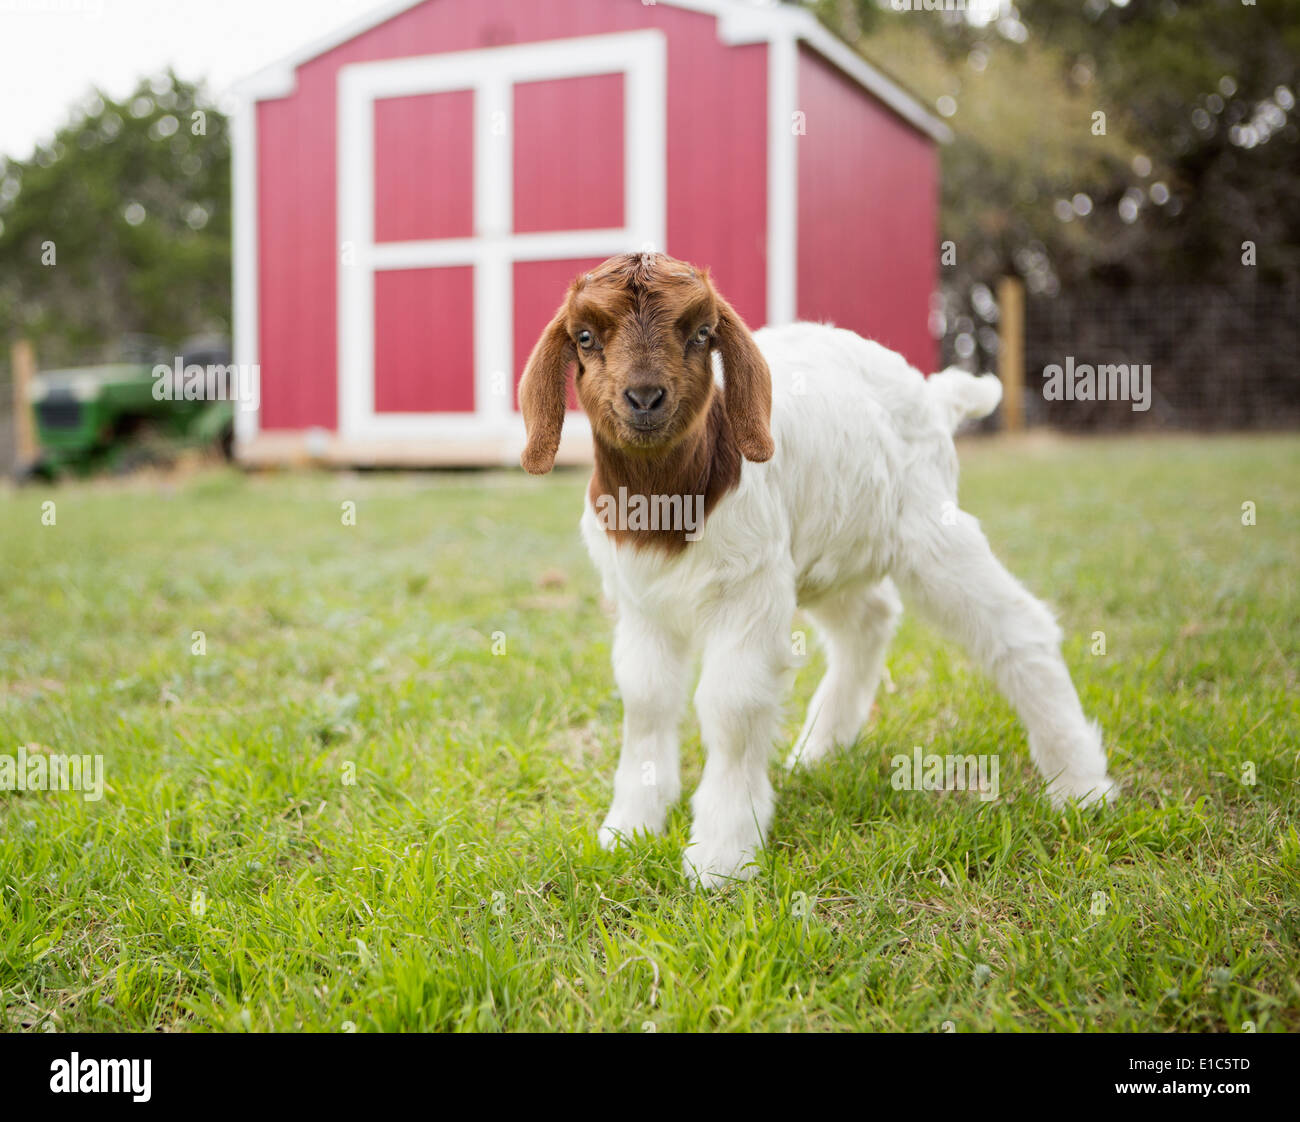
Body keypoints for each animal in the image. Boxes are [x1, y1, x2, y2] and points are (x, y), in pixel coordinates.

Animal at [520, 252, 1116, 888]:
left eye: (701, 333)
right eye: (585, 336)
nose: (645, 397)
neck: (666, 502)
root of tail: (933, 395)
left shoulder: (752, 590)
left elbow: (731, 704)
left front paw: (721, 856)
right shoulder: (640, 601)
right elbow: (646, 698)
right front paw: (628, 829)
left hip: (929, 530)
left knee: (1017, 627)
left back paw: (1080, 785)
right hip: (830, 550)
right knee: (870, 620)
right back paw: (819, 750)